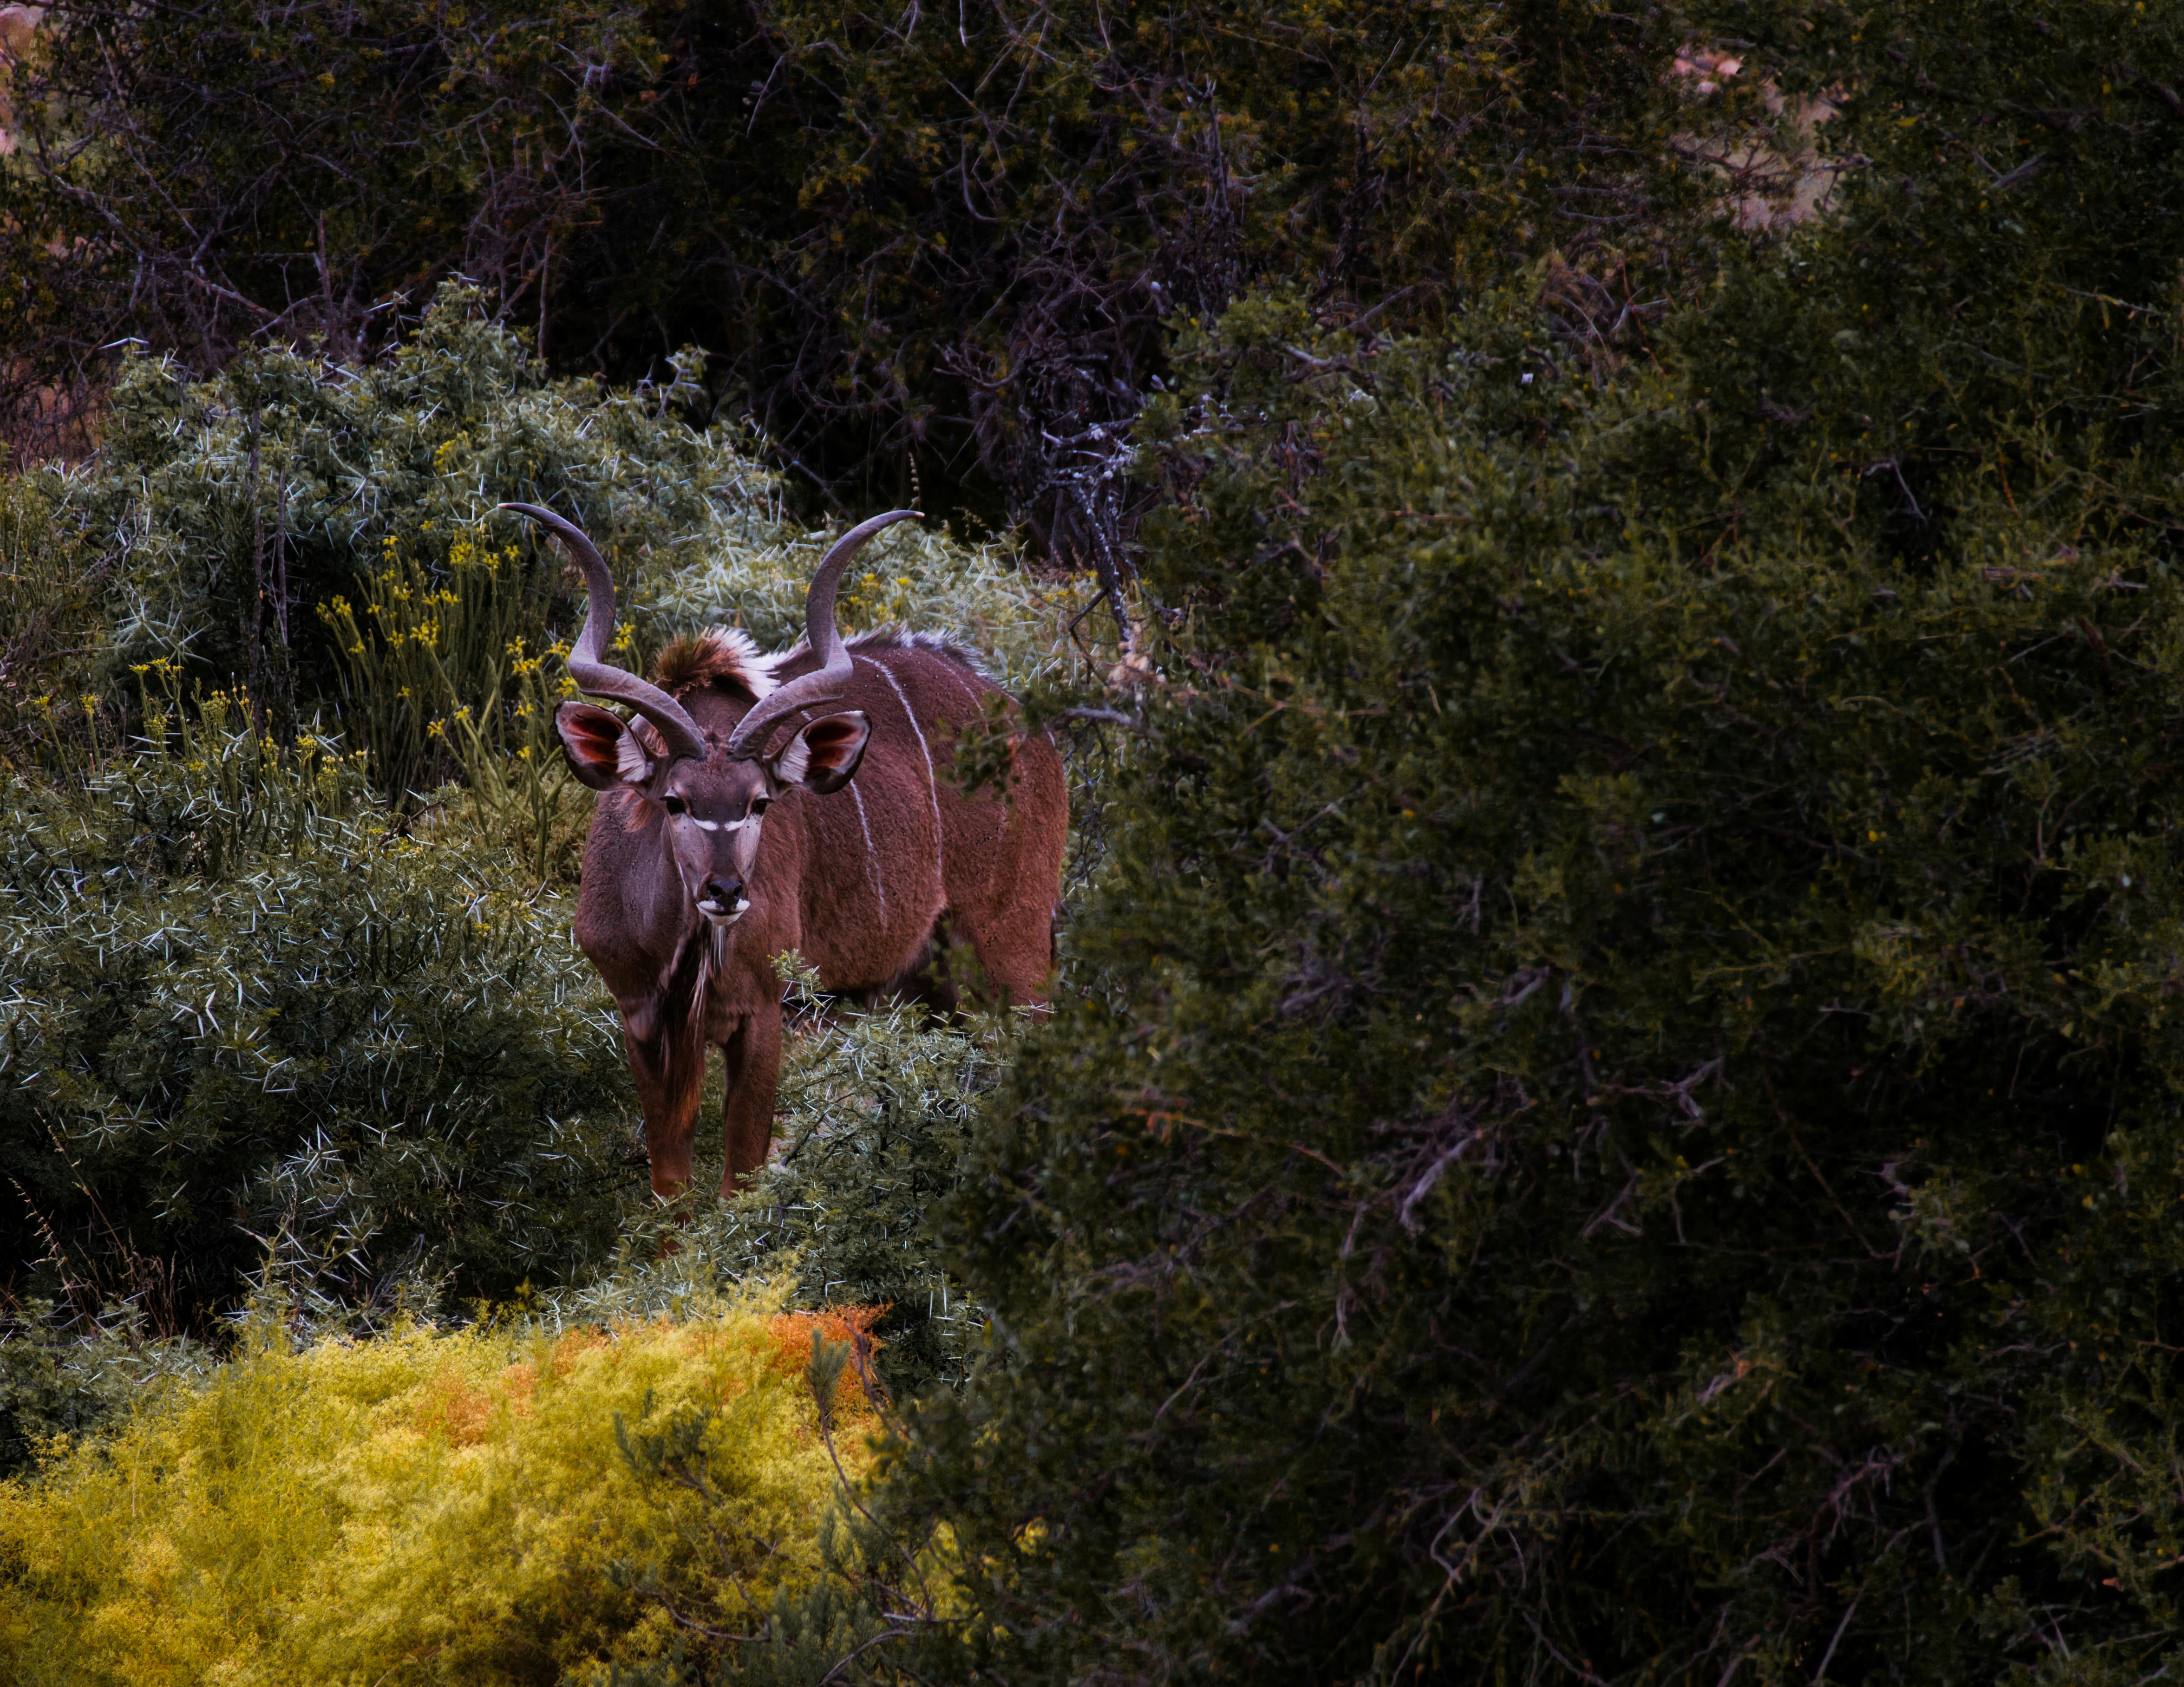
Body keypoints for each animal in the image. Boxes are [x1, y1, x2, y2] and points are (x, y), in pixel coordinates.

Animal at [500, 503, 1066, 1198]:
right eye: (674, 801)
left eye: (760, 802)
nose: (725, 892)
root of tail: (1026, 722)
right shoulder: (640, 1016)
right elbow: (671, 1186)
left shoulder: (767, 1012)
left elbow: (739, 1178)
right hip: (933, 982)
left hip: (1010, 949)